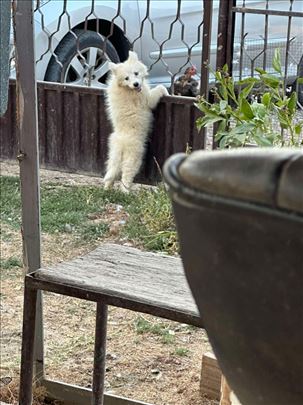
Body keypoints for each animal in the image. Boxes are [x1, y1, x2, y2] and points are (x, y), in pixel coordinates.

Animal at [104, 51, 169, 193]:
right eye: (126, 78)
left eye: (136, 73)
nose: (136, 84)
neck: (126, 88)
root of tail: (121, 144)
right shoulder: (148, 99)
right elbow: (160, 88)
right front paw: (167, 92)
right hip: (134, 157)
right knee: (126, 175)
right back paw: (125, 192)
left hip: (113, 155)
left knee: (111, 172)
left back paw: (107, 188)